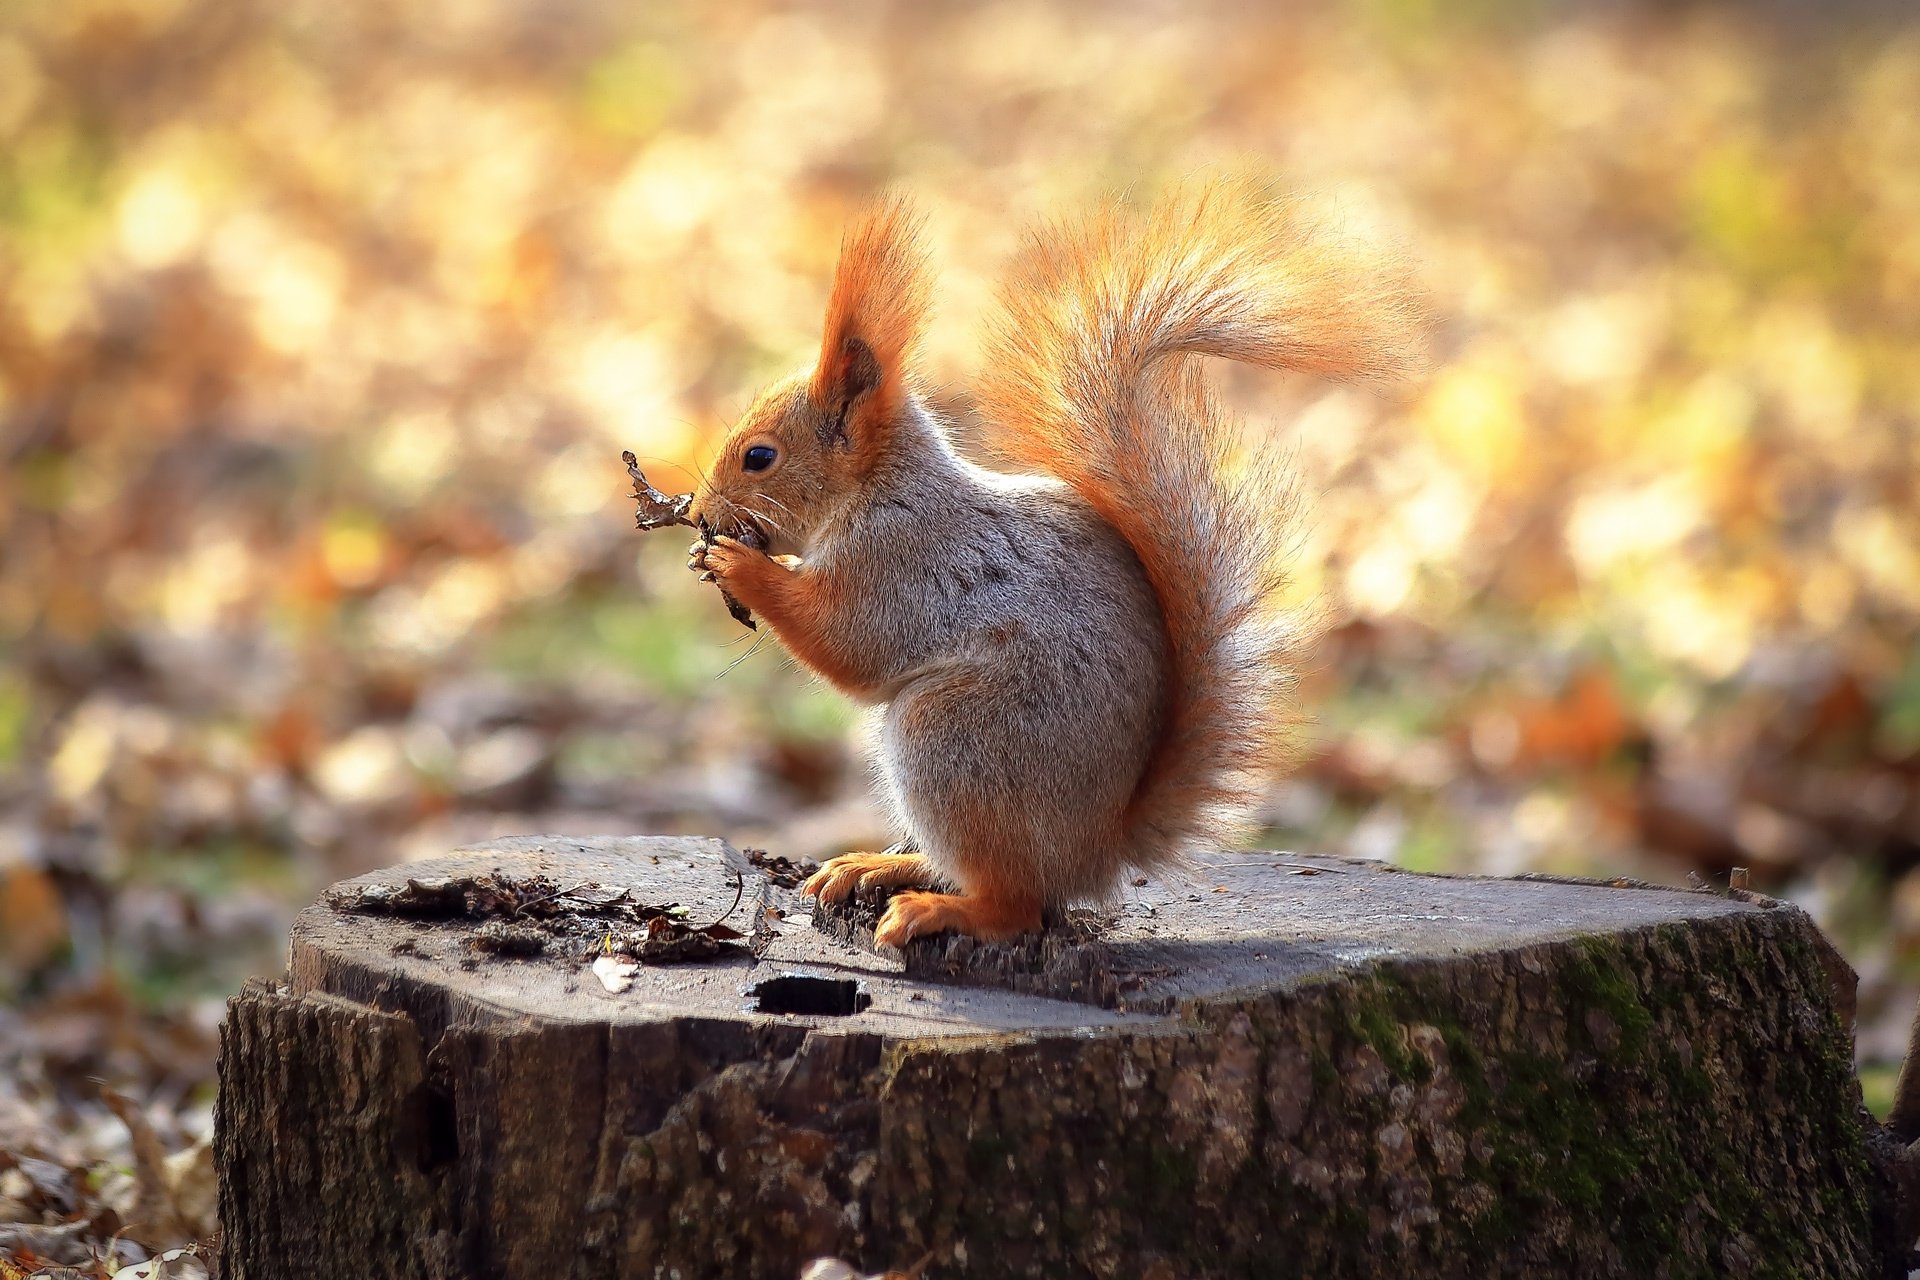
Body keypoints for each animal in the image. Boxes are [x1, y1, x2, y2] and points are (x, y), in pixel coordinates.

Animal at [686, 178, 1424, 949]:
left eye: (759, 456)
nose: (699, 510)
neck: (883, 490)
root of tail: (1098, 852)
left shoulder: (904, 563)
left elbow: (849, 644)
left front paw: (737, 566)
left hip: (956, 743)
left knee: (1015, 904)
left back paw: (939, 907)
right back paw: (880, 866)